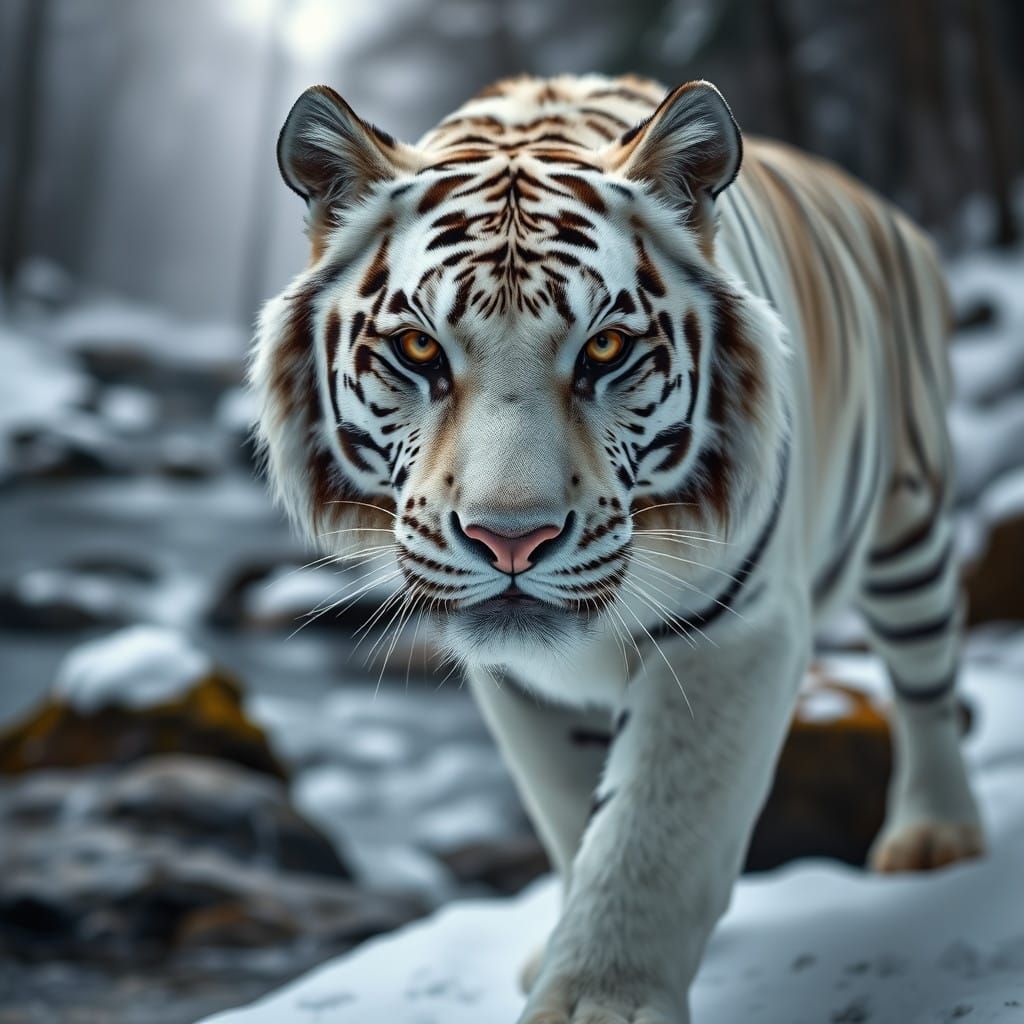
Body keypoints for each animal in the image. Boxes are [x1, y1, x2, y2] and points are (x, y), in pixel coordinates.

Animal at [253, 73, 984, 1024]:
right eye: (418, 349)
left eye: (604, 348)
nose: (510, 538)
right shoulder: (518, 680)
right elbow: (574, 815)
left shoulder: (735, 634)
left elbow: (655, 833)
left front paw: (603, 999)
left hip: (909, 517)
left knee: (926, 679)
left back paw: (936, 837)